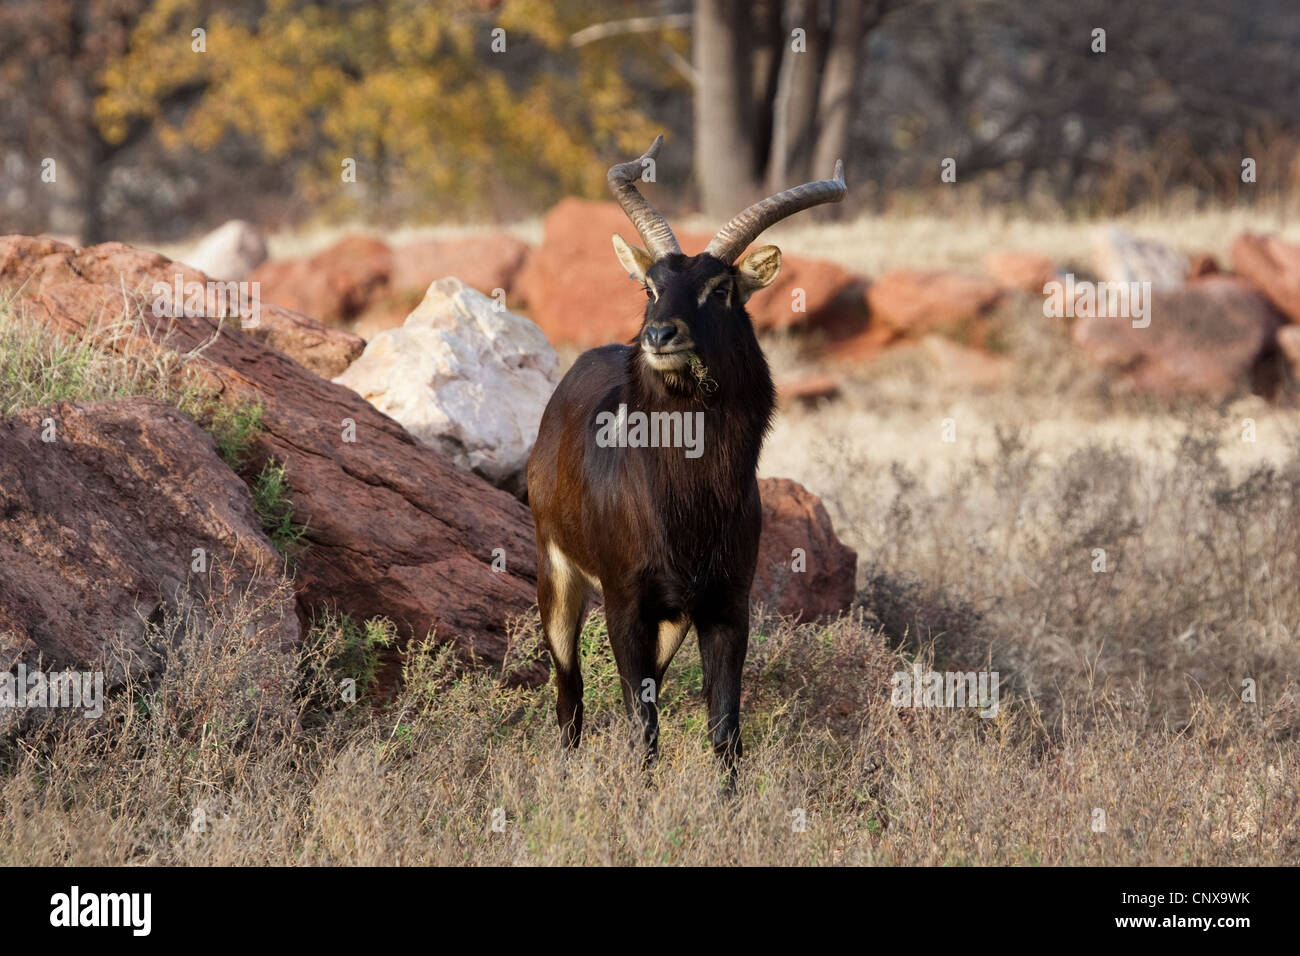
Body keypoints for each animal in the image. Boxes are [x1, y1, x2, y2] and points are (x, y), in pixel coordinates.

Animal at [526, 135, 845, 773]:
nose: (659, 335)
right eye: (649, 286)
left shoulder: (725, 605)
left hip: (674, 616)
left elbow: (725, 731)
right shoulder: (626, 602)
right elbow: (643, 726)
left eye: (719, 289)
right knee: (569, 688)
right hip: (560, 577)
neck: (689, 495)